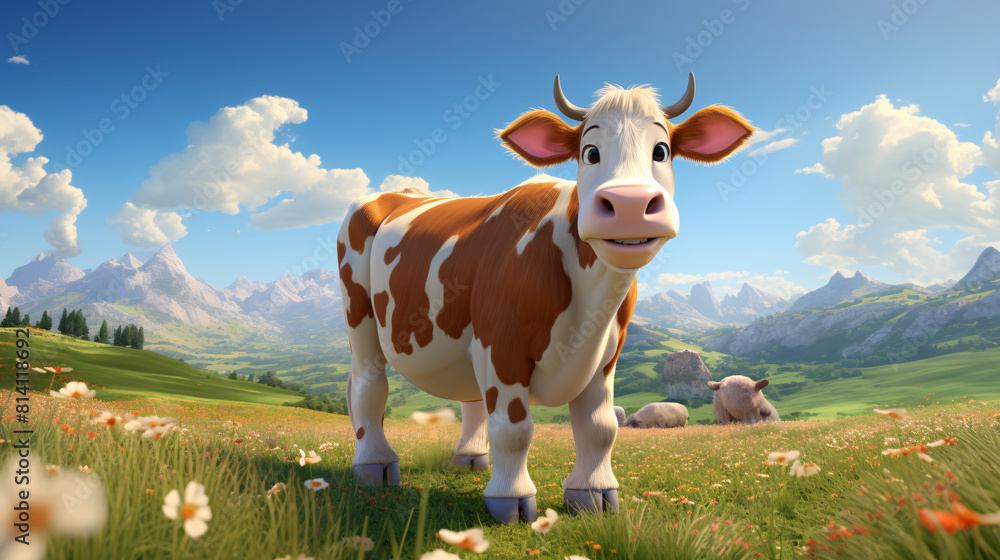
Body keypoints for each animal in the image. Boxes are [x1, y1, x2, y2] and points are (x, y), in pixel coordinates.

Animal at [338, 73, 753, 525]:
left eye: (661, 150)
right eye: (590, 152)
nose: (629, 204)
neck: (588, 299)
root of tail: (398, 193)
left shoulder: (606, 351)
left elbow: (599, 427)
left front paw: (592, 493)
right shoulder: (500, 342)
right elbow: (514, 428)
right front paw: (511, 500)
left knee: (464, 400)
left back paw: (469, 458)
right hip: (360, 315)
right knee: (367, 383)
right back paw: (375, 464)